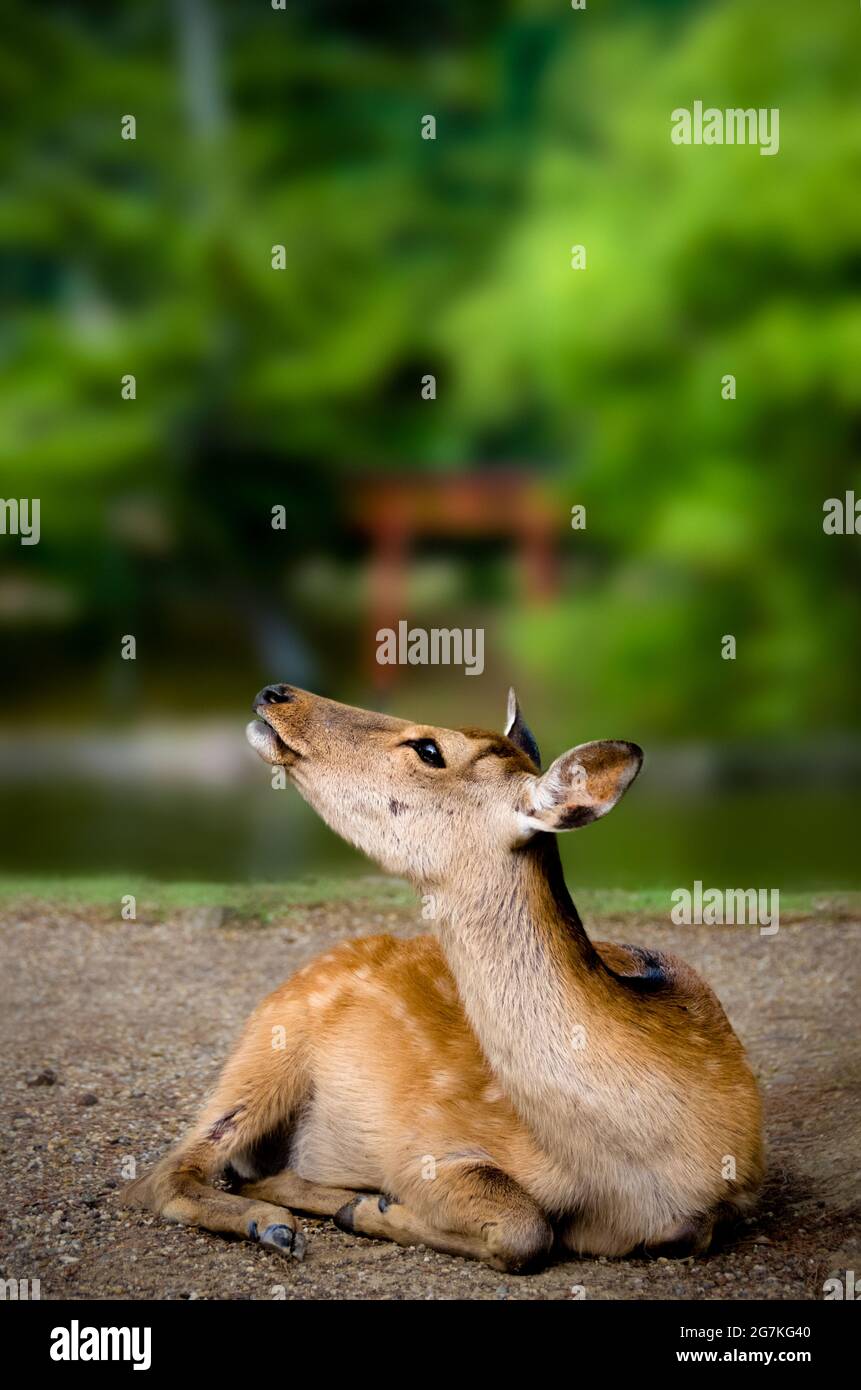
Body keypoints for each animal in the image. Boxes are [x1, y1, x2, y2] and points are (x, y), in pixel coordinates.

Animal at [121, 683, 763, 1272]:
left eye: (430, 749)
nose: (277, 693)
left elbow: (675, 1233)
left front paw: (370, 1207)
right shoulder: (423, 1147)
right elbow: (525, 1225)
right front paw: (378, 1208)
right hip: (265, 1050)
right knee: (164, 1175)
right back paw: (280, 1223)